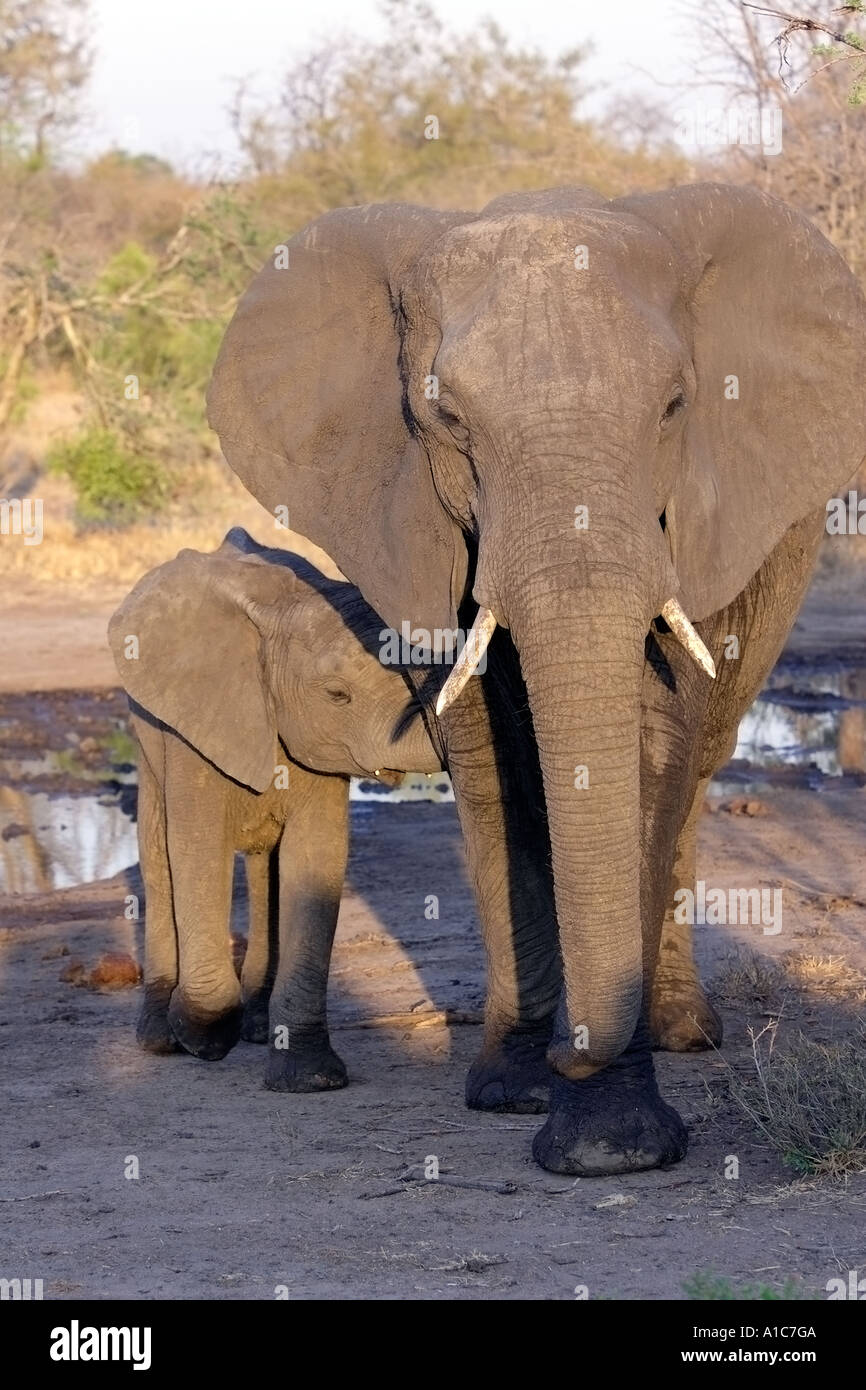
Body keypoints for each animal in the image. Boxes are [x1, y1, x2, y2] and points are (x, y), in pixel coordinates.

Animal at [108, 527, 440, 1087]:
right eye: (337, 695)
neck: (283, 609)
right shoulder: (196, 727)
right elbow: (196, 849)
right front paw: (203, 1033)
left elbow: (315, 857)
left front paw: (310, 1079)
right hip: (149, 740)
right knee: (158, 854)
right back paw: (160, 1040)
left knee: (267, 870)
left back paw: (259, 1030)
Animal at [206, 183, 866, 1175]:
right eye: (446, 421)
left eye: (676, 407)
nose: (572, 1052)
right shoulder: (420, 532)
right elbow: (490, 762)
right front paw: (520, 1093)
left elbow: (653, 746)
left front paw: (610, 1145)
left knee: (701, 766)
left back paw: (681, 1031)